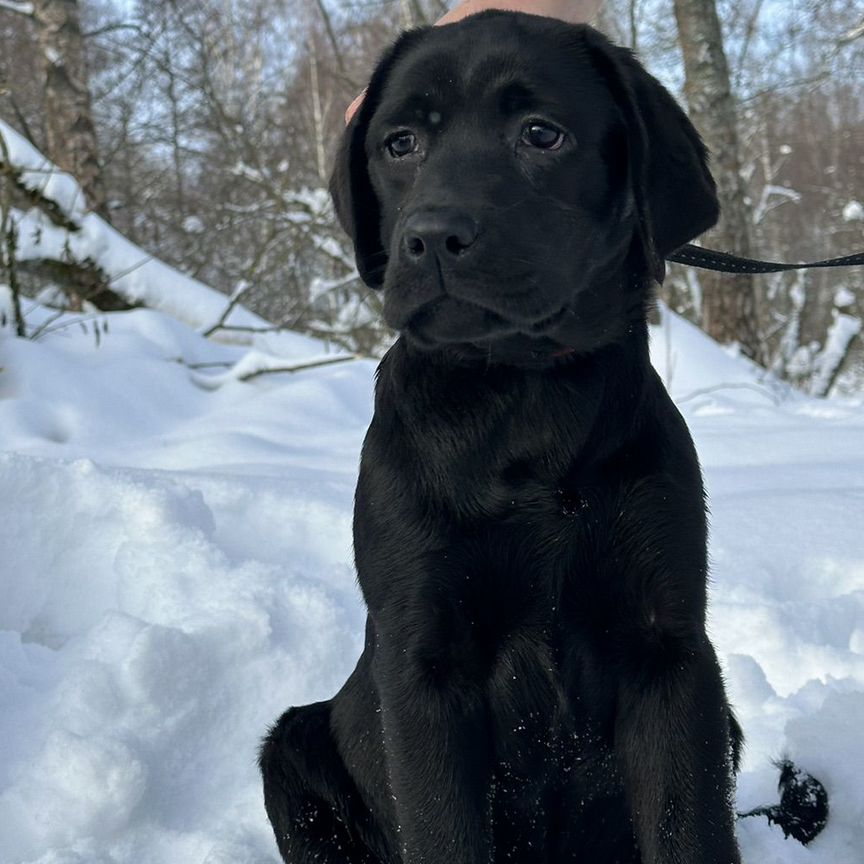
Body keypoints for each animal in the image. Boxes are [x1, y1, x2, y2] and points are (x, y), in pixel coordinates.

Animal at [262, 11, 744, 864]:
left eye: (541, 134)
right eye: (400, 144)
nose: (432, 237)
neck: (524, 402)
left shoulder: (670, 649)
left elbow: (691, 826)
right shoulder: (425, 664)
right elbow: (444, 831)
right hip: (292, 745)